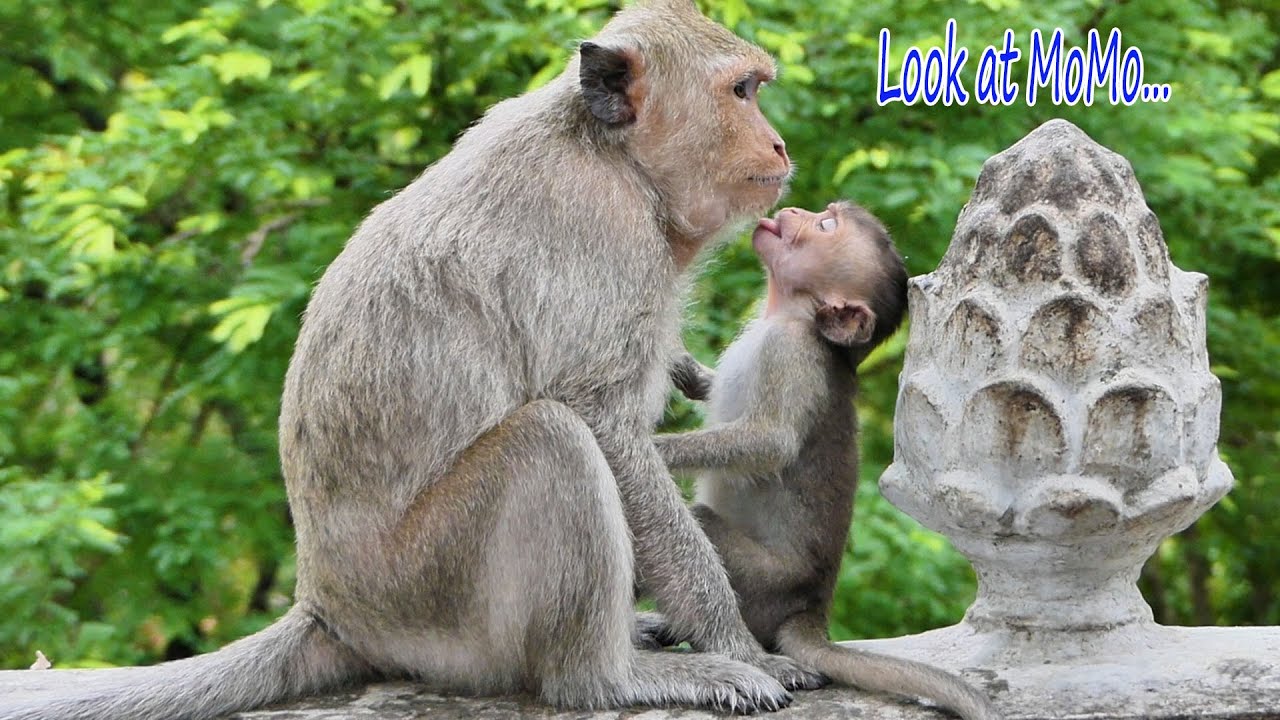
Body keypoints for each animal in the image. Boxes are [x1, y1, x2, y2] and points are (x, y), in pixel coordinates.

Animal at [0, 2, 827, 719]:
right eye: (742, 91)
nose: (780, 145)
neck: (611, 156)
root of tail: (328, 606)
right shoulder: (606, 237)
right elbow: (604, 423)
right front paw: (740, 647)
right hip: (430, 593)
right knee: (550, 439)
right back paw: (609, 677)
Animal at [637, 201, 1004, 720]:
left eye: (825, 225)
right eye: (824, 212)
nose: (792, 209)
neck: (789, 314)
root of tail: (809, 608)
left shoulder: (793, 354)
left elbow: (769, 442)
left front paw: (658, 448)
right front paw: (684, 369)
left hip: (764, 582)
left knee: (701, 522)